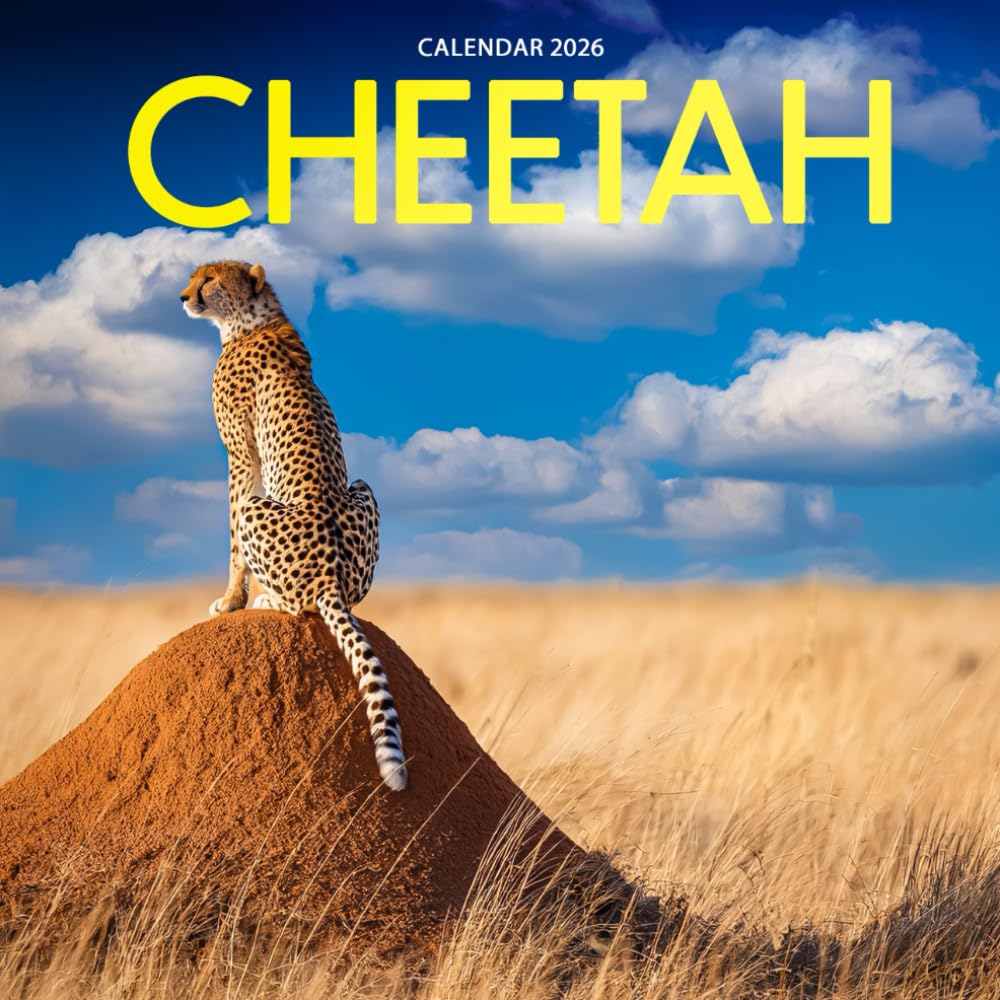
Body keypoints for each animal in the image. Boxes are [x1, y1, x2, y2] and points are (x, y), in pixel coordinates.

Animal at [180, 259, 407, 791]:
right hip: (363, 489)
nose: (182, 297)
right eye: (195, 277)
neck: (250, 319)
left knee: (295, 603)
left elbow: (231, 536)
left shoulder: (240, 454)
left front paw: (230, 601)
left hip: (259, 512)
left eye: (209, 280)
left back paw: (267, 600)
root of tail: (330, 579)